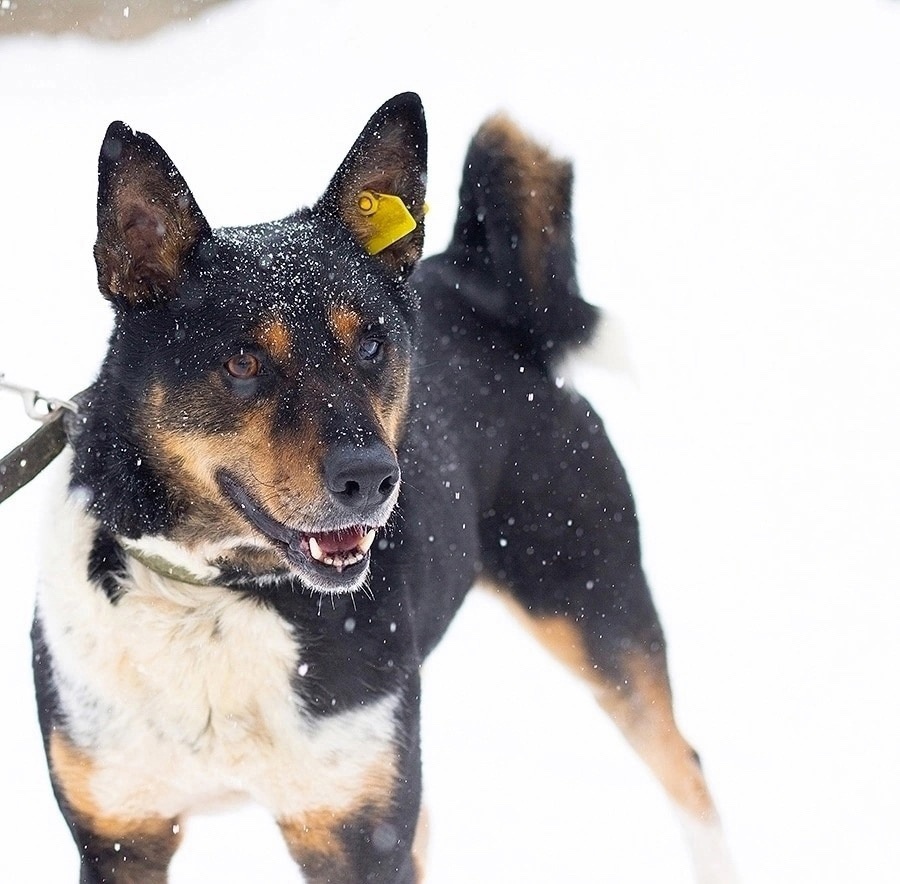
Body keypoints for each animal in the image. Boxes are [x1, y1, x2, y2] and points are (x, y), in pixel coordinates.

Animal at [33, 93, 740, 880]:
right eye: (243, 362)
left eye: (371, 344)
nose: (372, 479)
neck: (221, 596)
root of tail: (474, 287)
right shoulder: (120, 834)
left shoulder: (358, 831)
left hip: (591, 598)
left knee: (684, 765)